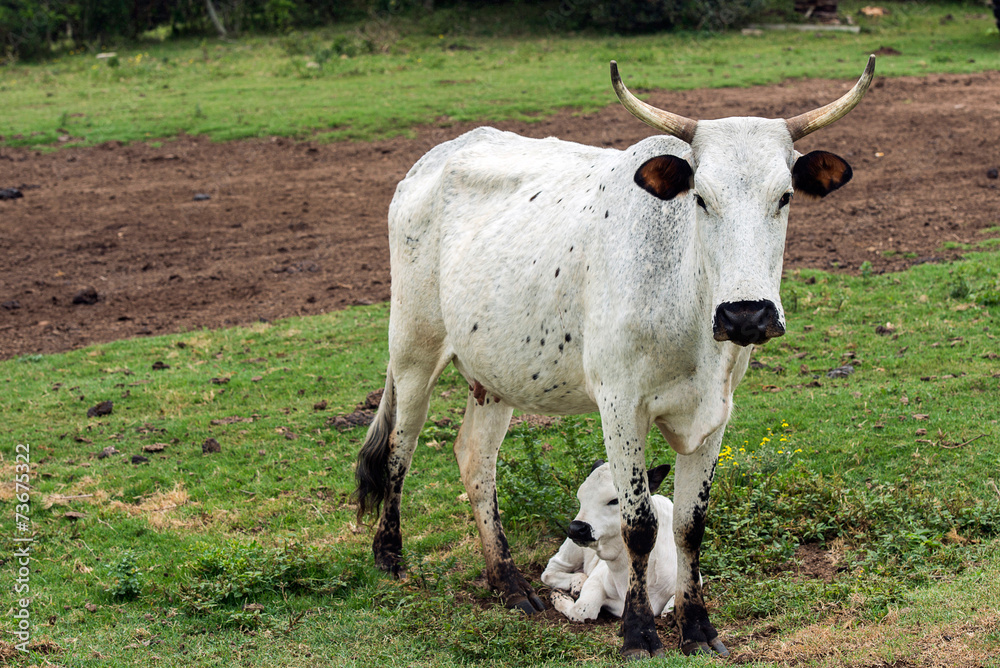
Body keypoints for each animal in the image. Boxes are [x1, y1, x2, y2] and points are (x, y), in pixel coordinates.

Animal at [542, 461, 679, 623]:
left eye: (614, 500)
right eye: (581, 498)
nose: (575, 528)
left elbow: (669, 610)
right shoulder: (596, 580)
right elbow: (581, 611)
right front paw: (559, 595)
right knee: (550, 571)